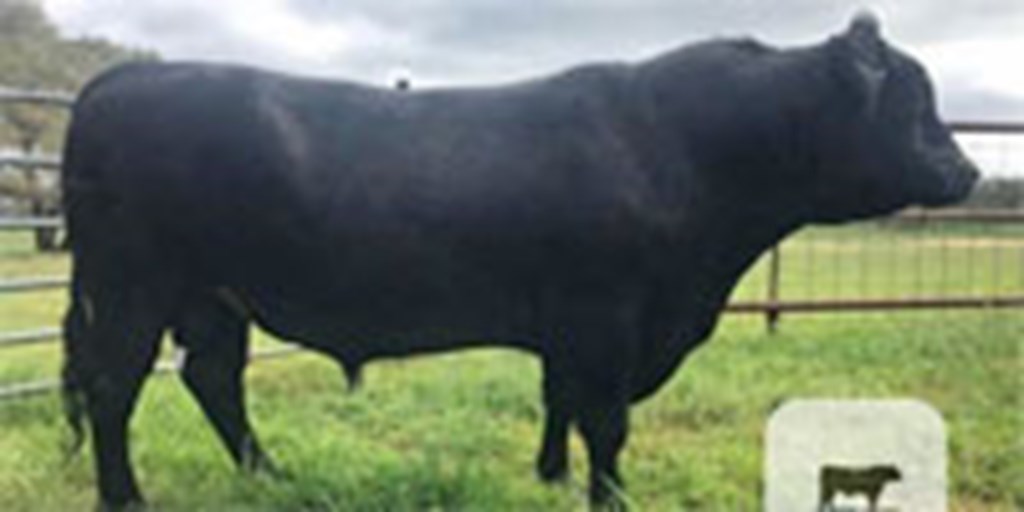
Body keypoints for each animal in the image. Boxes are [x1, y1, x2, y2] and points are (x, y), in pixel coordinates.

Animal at [60, 13, 977, 509]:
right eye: (915, 106)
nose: (966, 171)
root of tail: (116, 81)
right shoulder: (606, 316)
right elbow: (605, 419)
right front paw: (610, 496)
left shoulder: (573, 322)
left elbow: (558, 398)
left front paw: (549, 476)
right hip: (132, 287)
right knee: (114, 390)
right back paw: (125, 494)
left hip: (214, 296)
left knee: (212, 378)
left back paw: (272, 475)